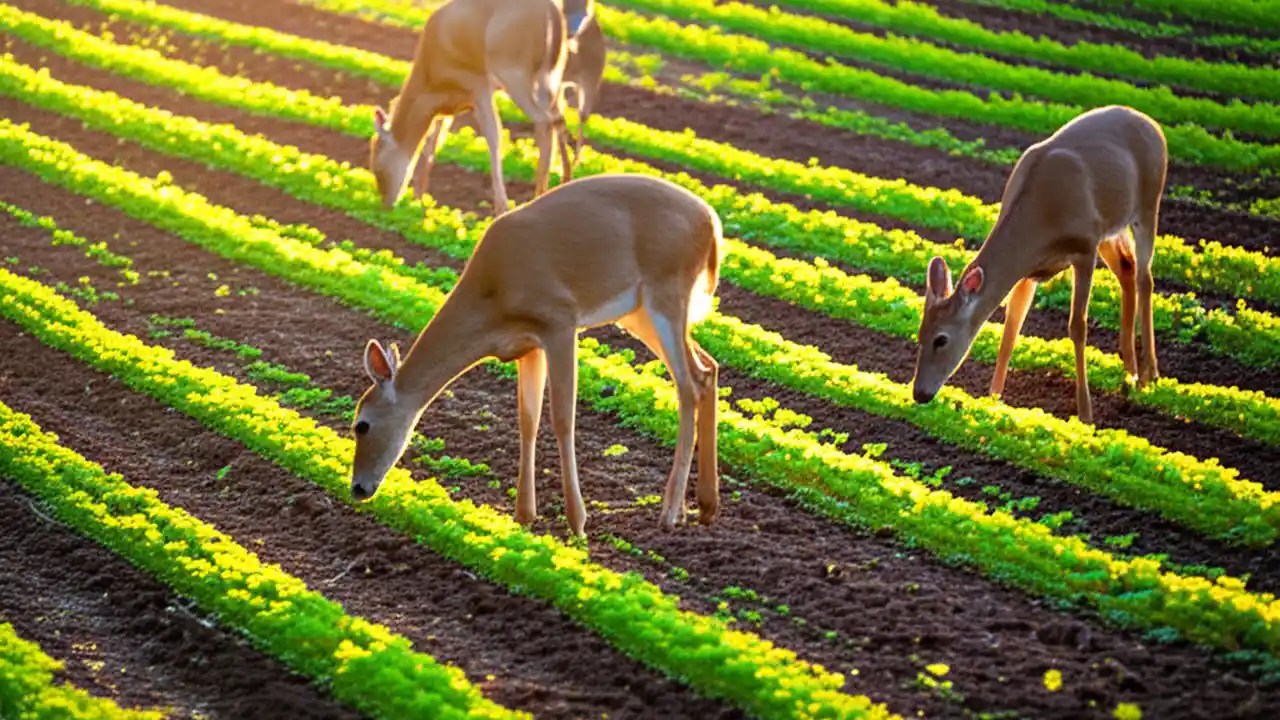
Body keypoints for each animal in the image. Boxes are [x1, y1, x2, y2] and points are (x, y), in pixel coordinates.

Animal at [349, 174, 723, 535]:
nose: (357, 488)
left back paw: (670, 512)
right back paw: (705, 507)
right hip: (638, 312)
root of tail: (713, 223)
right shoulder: (527, 346)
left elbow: (562, 417)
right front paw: (524, 515)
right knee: (707, 369)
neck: (493, 297)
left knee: (688, 385)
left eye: (361, 425)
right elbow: (528, 418)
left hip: (667, 290)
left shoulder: (559, 320)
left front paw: (577, 522)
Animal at [371, 0, 575, 216]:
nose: (385, 205)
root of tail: (552, 11)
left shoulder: (478, 85)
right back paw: (563, 181)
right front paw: (419, 199)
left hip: (512, 70)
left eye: (378, 168)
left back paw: (538, 195)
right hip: (551, 74)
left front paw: (501, 207)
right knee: (558, 117)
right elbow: (431, 147)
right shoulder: (445, 110)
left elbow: (494, 137)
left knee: (546, 121)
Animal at [910, 105, 1166, 424]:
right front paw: (993, 399)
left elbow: (1077, 326)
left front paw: (1085, 413)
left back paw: (1149, 375)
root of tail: (1153, 124)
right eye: (919, 335)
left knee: (1146, 278)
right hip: (1112, 225)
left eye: (941, 339)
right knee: (1127, 268)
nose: (919, 394)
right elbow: (1012, 326)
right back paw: (1129, 374)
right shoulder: (1027, 271)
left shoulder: (1085, 247)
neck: (1042, 219)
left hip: (1148, 203)